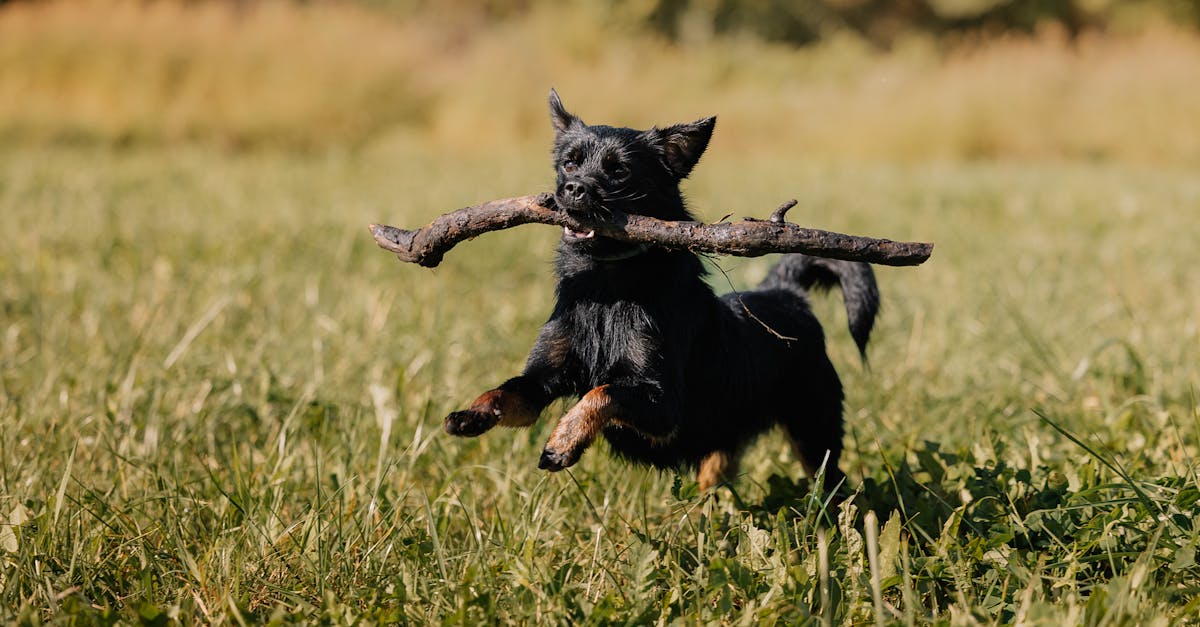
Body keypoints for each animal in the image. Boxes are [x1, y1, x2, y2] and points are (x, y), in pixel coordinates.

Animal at [441, 91, 873, 492]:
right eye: (569, 162)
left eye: (619, 172)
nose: (573, 188)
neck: (606, 289)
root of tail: (785, 291)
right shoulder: (540, 382)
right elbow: (506, 392)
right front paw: (471, 413)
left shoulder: (663, 405)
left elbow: (600, 392)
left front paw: (564, 440)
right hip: (725, 441)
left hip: (813, 434)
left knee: (836, 485)